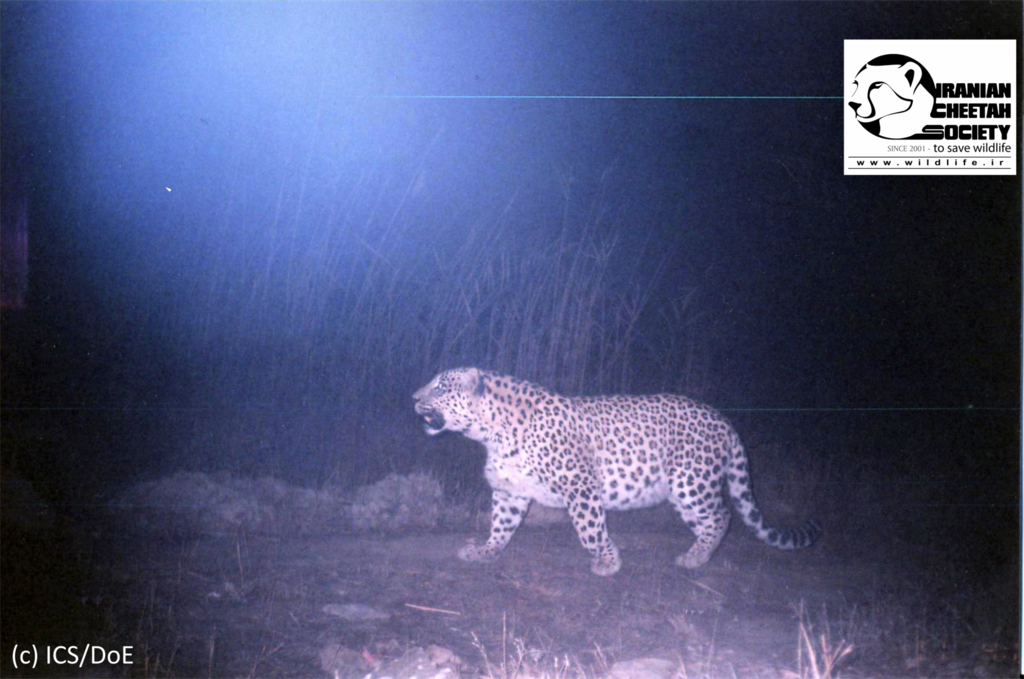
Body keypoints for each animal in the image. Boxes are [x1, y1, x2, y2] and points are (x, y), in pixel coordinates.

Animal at [413, 367, 820, 576]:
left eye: (440, 385)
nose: (413, 397)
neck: (491, 432)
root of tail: (724, 421)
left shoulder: (580, 487)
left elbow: (590, 529)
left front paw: (607, 561)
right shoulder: (510, 490)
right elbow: (501, 524)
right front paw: (486, 551)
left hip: (690, 480)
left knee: (721, 516)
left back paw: (697, 557)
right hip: (683, 491)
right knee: (710, 520)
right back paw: (697, 553)